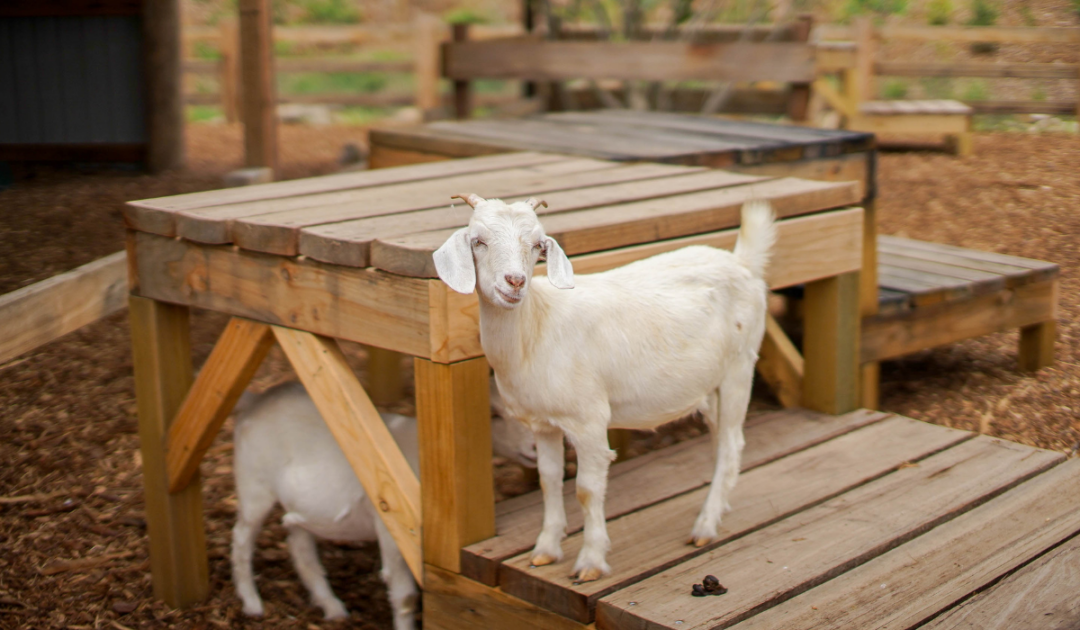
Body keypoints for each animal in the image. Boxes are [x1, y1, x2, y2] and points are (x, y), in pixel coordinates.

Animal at [231, 381, 537, 627]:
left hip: (299, 504)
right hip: (254, 486)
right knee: (242, 538)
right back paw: (252, 604)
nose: (535, 448)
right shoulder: (393, 525)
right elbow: (405, 596)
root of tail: (256, 399)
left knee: (299, 543)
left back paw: (332, 607)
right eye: (493, 415)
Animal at [433, 194, 775, 582]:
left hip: (739, 367)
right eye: (478, 241)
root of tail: (742, 262)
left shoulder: (588, 421)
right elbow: (549, 480)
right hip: (712, 386)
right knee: (722, 443)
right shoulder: (543, 424)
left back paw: (704, 526)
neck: (536, 327)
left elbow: (586, 490)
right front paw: (545, 550)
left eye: (537, 245)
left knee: (732, 445)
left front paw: (590, 562)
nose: (515, 281)